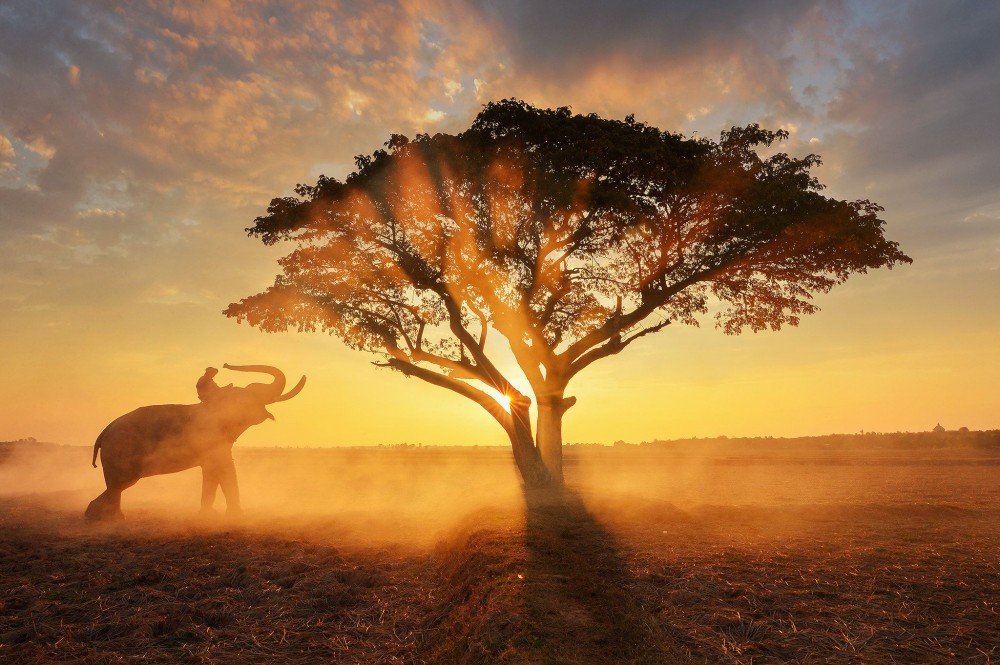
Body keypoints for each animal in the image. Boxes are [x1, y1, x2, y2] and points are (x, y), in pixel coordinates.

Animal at [85, 364, 306, 521]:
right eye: (249, 392)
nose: (223, 364)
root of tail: (103, 432)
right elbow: (225, 469)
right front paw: (235, 516)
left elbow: (212, 472)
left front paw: (210, 515)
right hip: (120, 453)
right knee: (118, 485)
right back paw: (112, 518)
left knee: (116, 487)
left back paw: (96, 514)